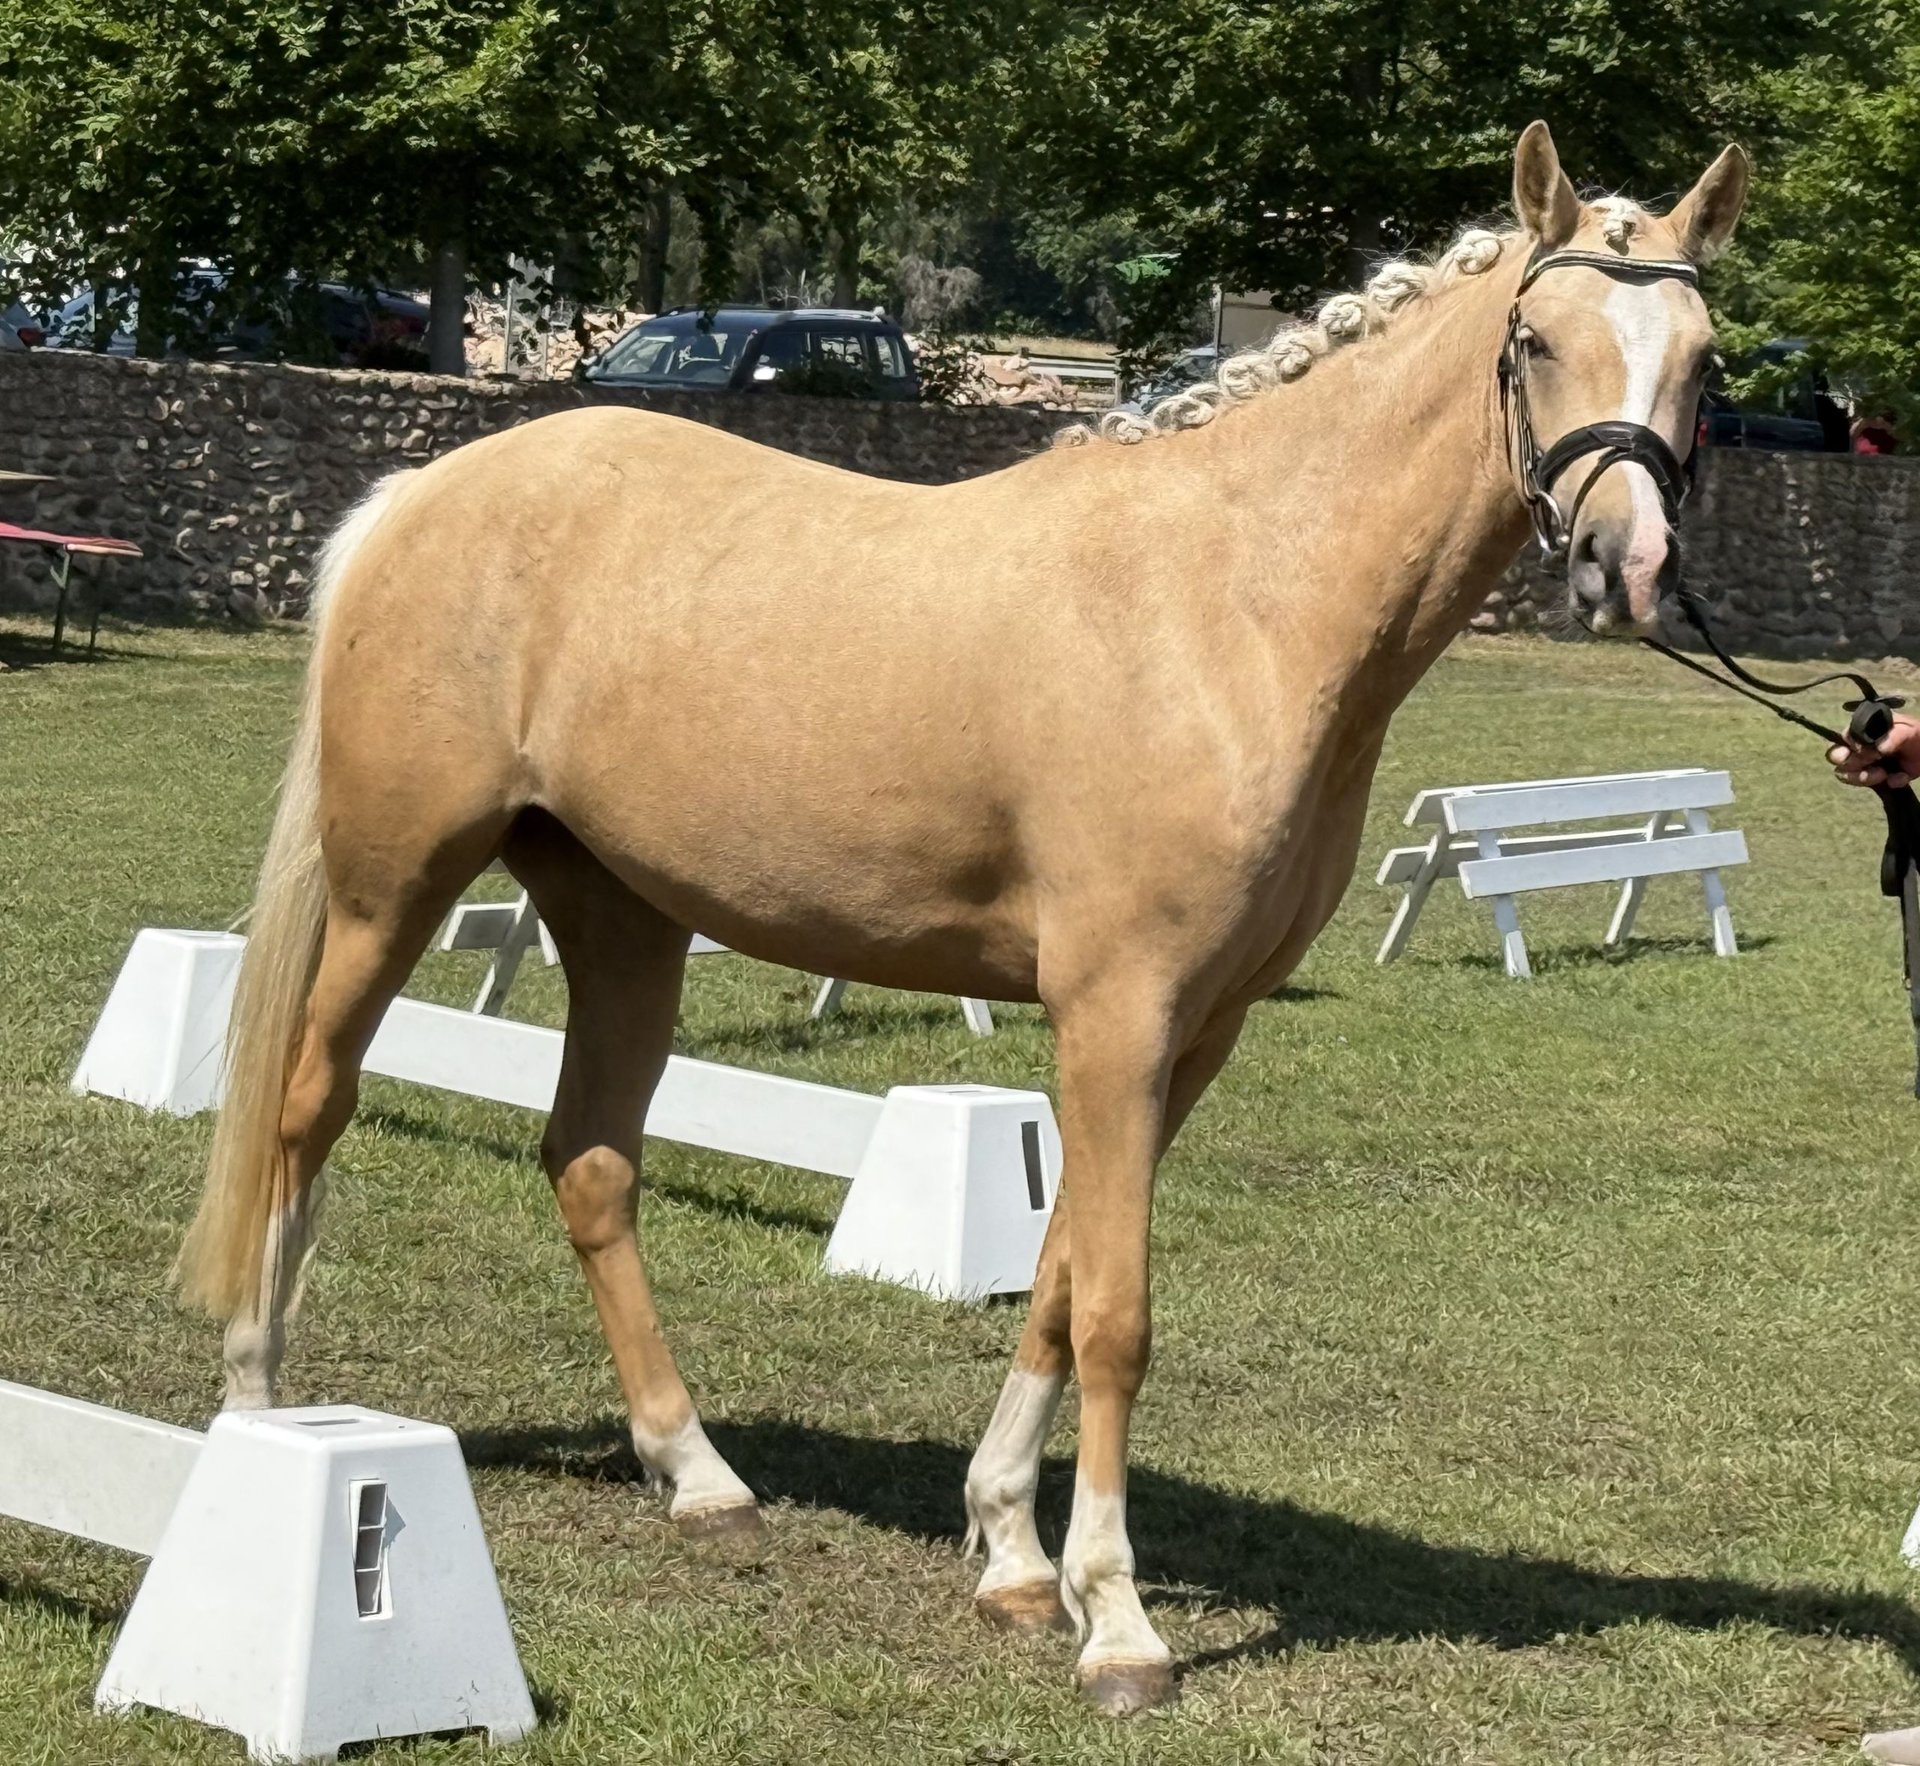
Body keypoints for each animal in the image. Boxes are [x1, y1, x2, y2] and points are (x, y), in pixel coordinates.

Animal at [177, 122, 1749, 1713]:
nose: (1625, 564)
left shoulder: (1192, 1031)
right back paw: (260, 1411)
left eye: (1705, 358)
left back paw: (698, 1471)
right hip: (392, 889)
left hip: (622, 918)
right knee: (307, 1104)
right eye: (1536, 341)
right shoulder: (1119, 1011)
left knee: (592, 1165)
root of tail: (423, 496)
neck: (1232, 602)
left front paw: (1011, 1550)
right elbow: (1114, 1306)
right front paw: (1117, 1618)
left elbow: (1054, 1275)